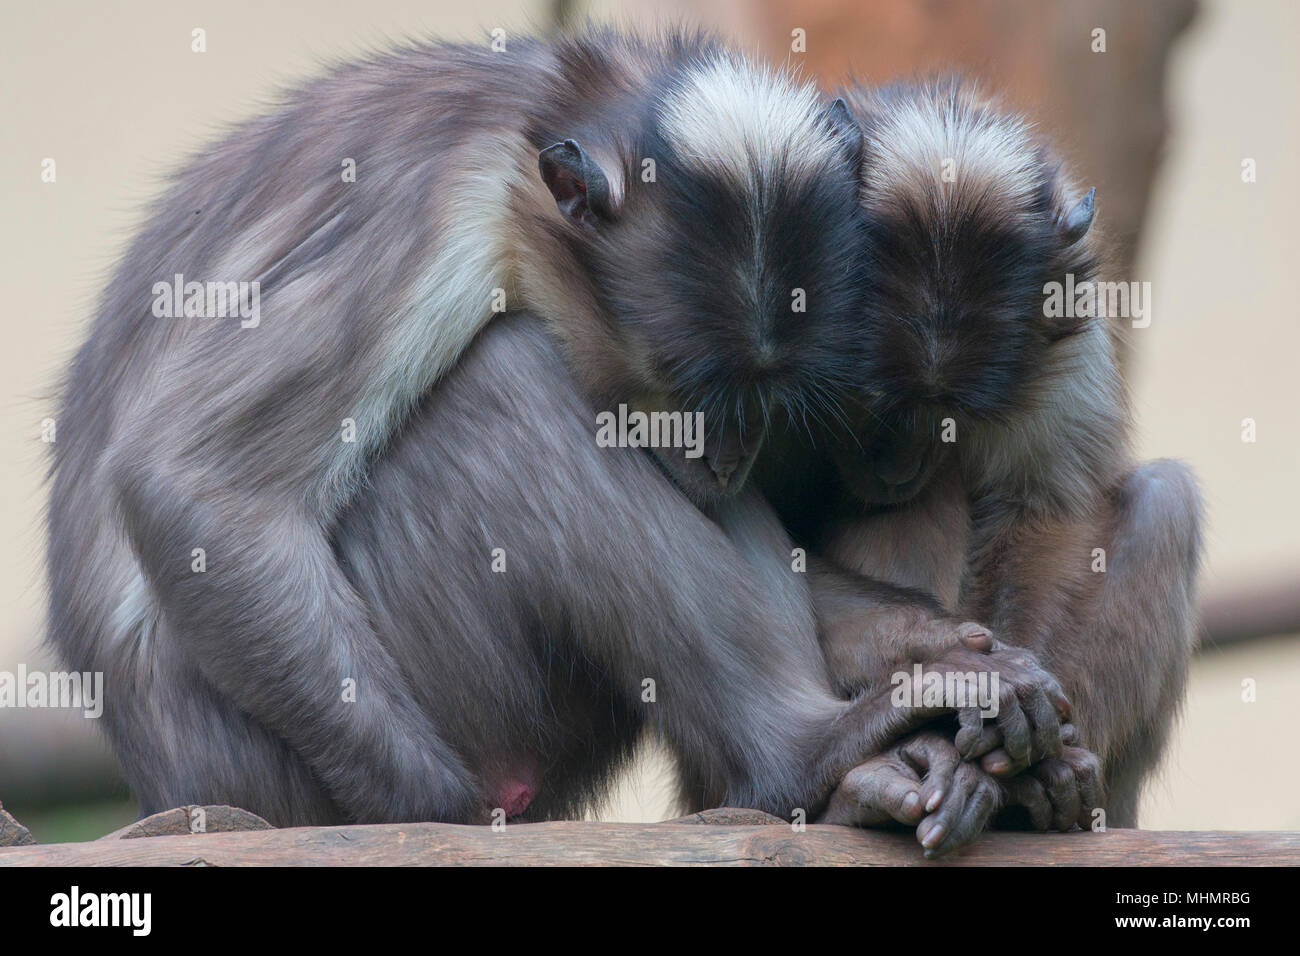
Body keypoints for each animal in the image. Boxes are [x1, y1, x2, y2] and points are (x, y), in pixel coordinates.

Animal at [765, 78, 1204, 830]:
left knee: (1162, 499)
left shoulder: (1063, 328)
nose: (895, 462)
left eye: (948, 413)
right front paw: (975, 676)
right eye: (867, 401)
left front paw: (1023, 741)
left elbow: (1047, 518)